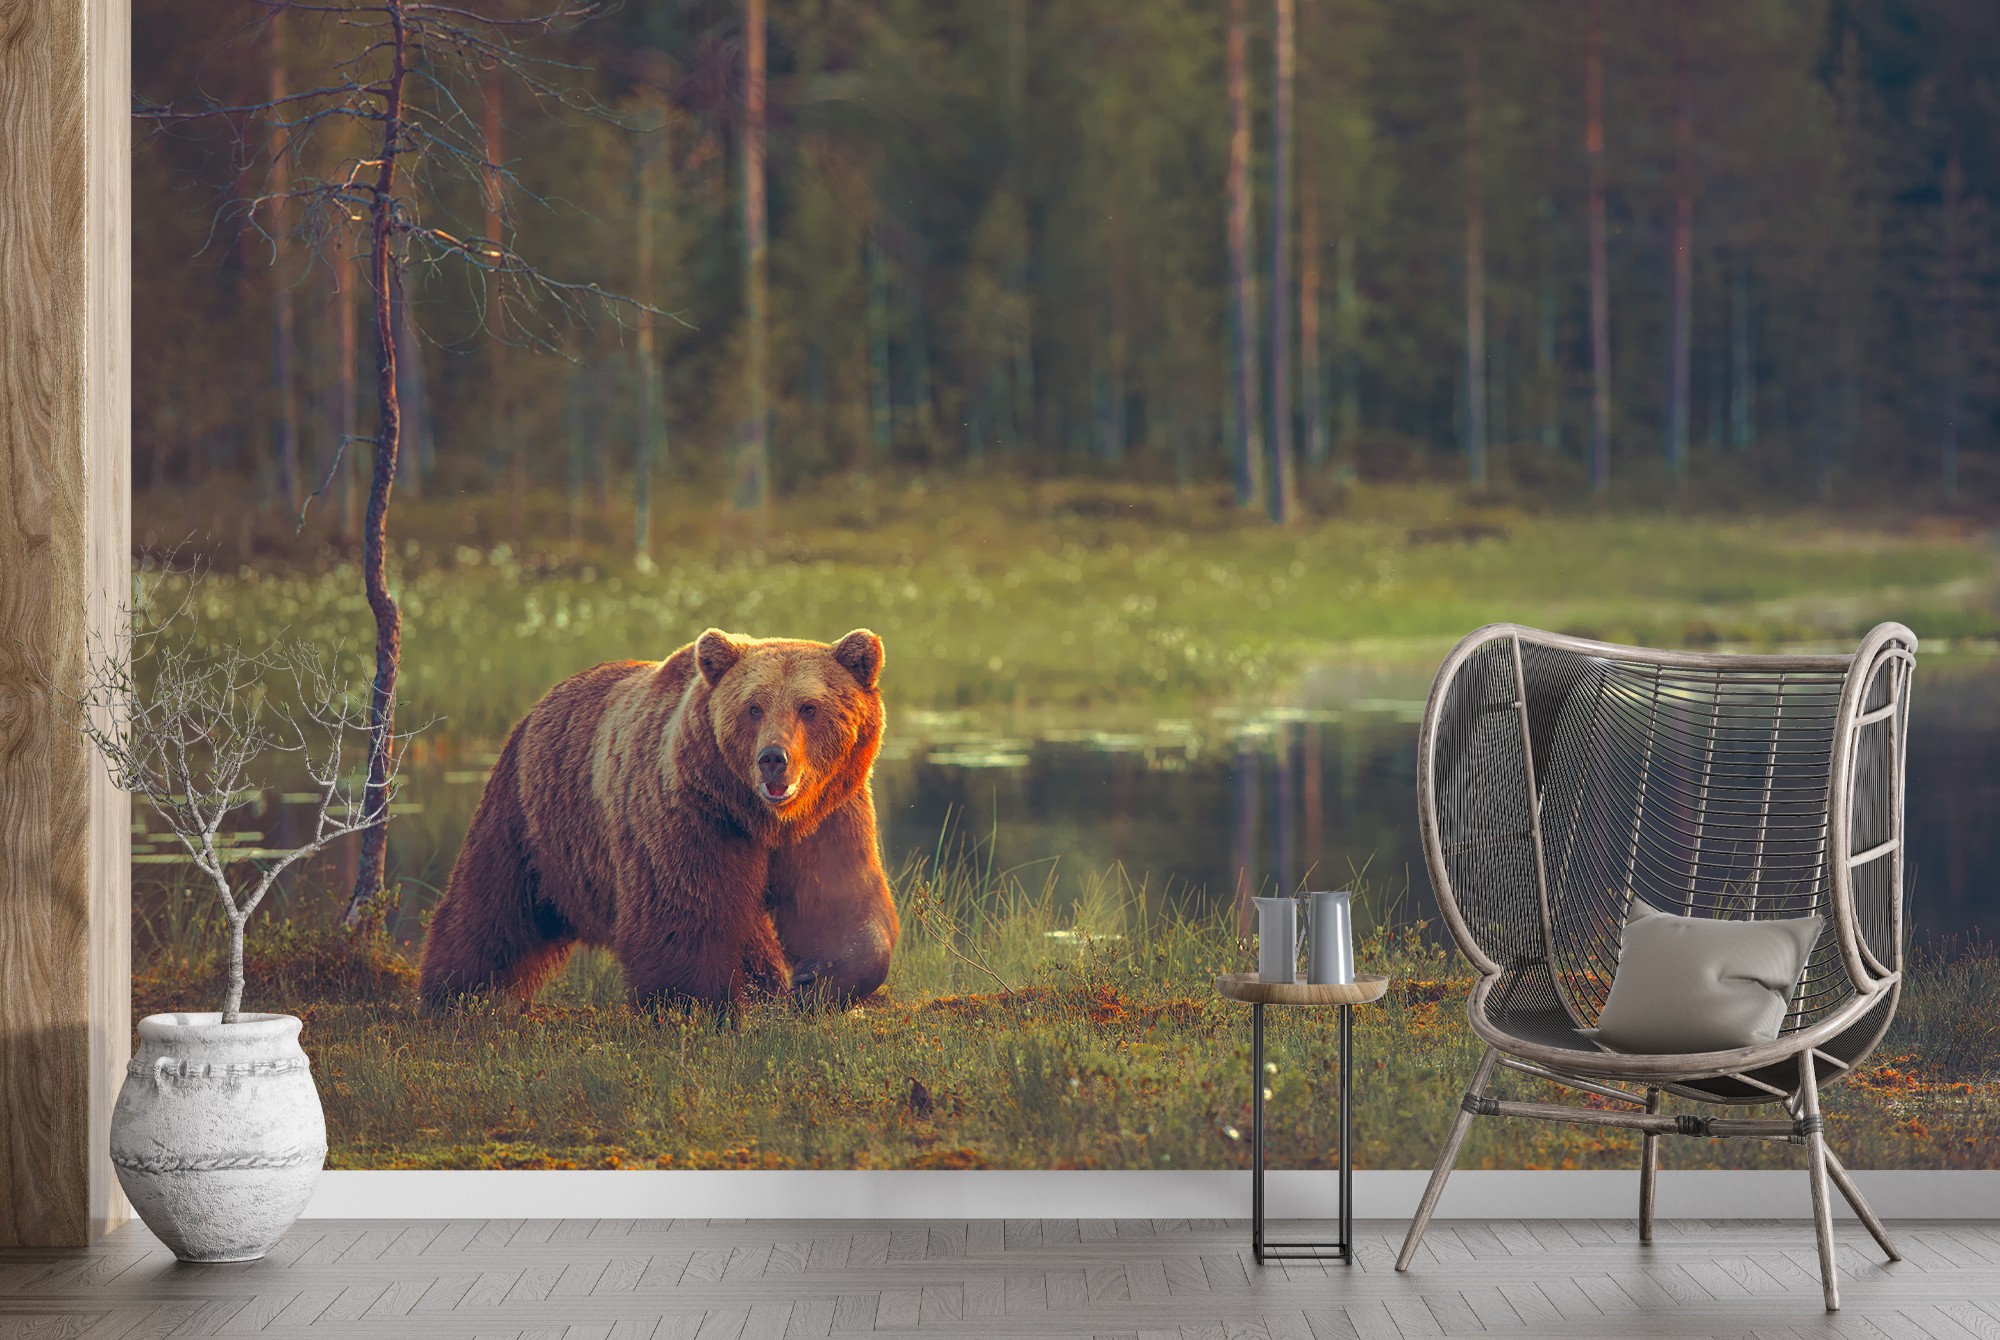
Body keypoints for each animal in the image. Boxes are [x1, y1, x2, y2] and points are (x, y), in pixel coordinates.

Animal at [417, 627, 898, 1010]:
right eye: (754, 707)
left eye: (808, 707)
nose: (772, 759)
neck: (760, 818)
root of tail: (536, 707)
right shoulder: (694, 816)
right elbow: (683, 915)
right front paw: (698, 1008)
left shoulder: (829, 816)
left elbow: (840, 902)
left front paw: (813, 981)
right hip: (531, 818)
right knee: (490, 905)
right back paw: (453, 995)